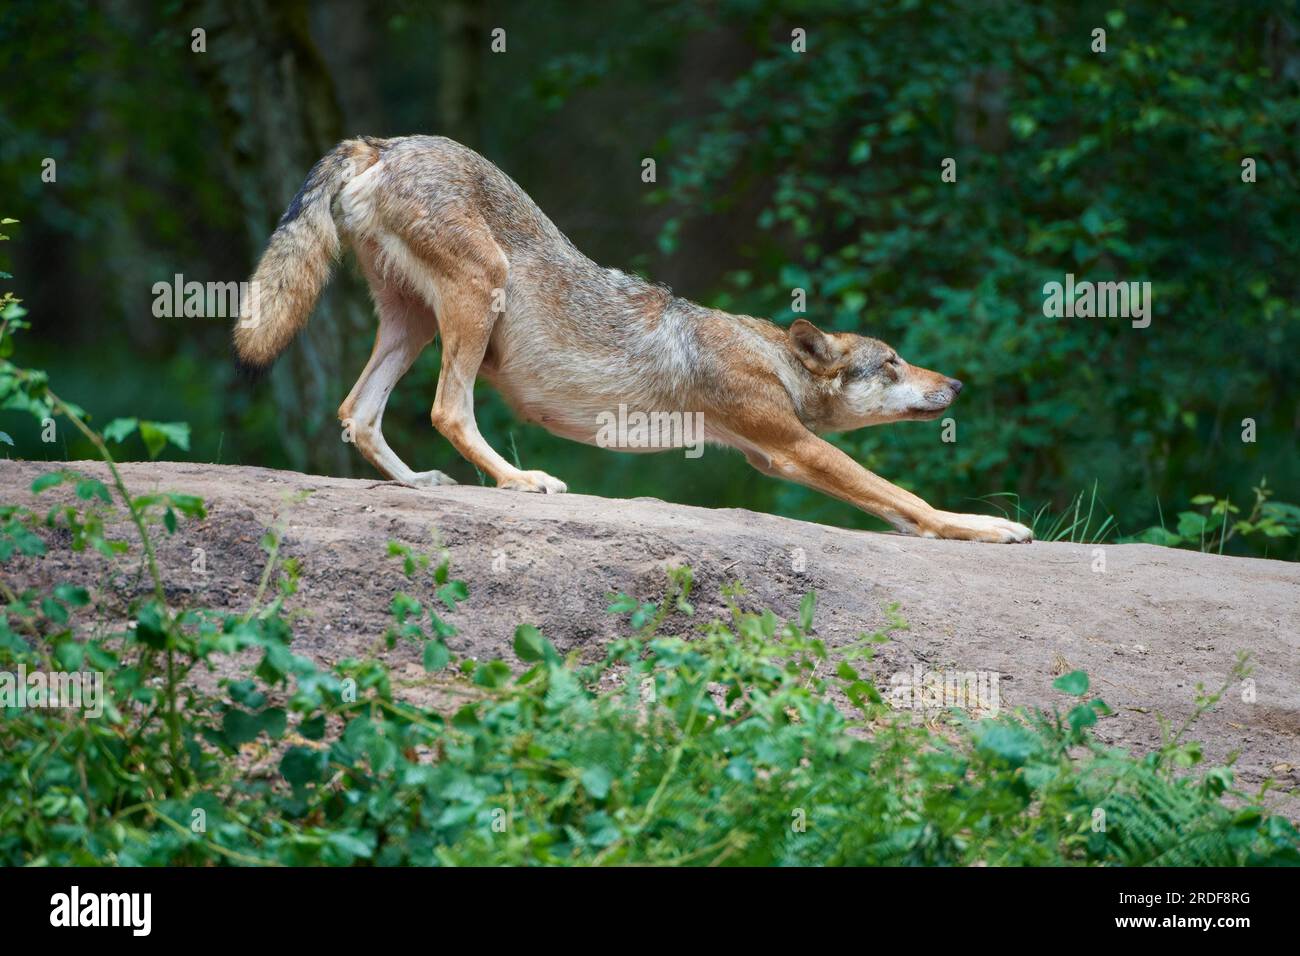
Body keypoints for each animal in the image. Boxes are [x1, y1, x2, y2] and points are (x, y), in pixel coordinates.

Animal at [234, 136, 1031, 543]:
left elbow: (892, 505)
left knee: (356, 412)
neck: (771, 358)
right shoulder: (791, 447)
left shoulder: (768, 456)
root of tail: (380, 140)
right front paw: (990, 526)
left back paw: (422, 485)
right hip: (477, 295)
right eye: (893, 362)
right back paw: (520, 482)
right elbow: (906, 495)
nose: (956, 384)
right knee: (446, 411)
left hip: (416, 322)